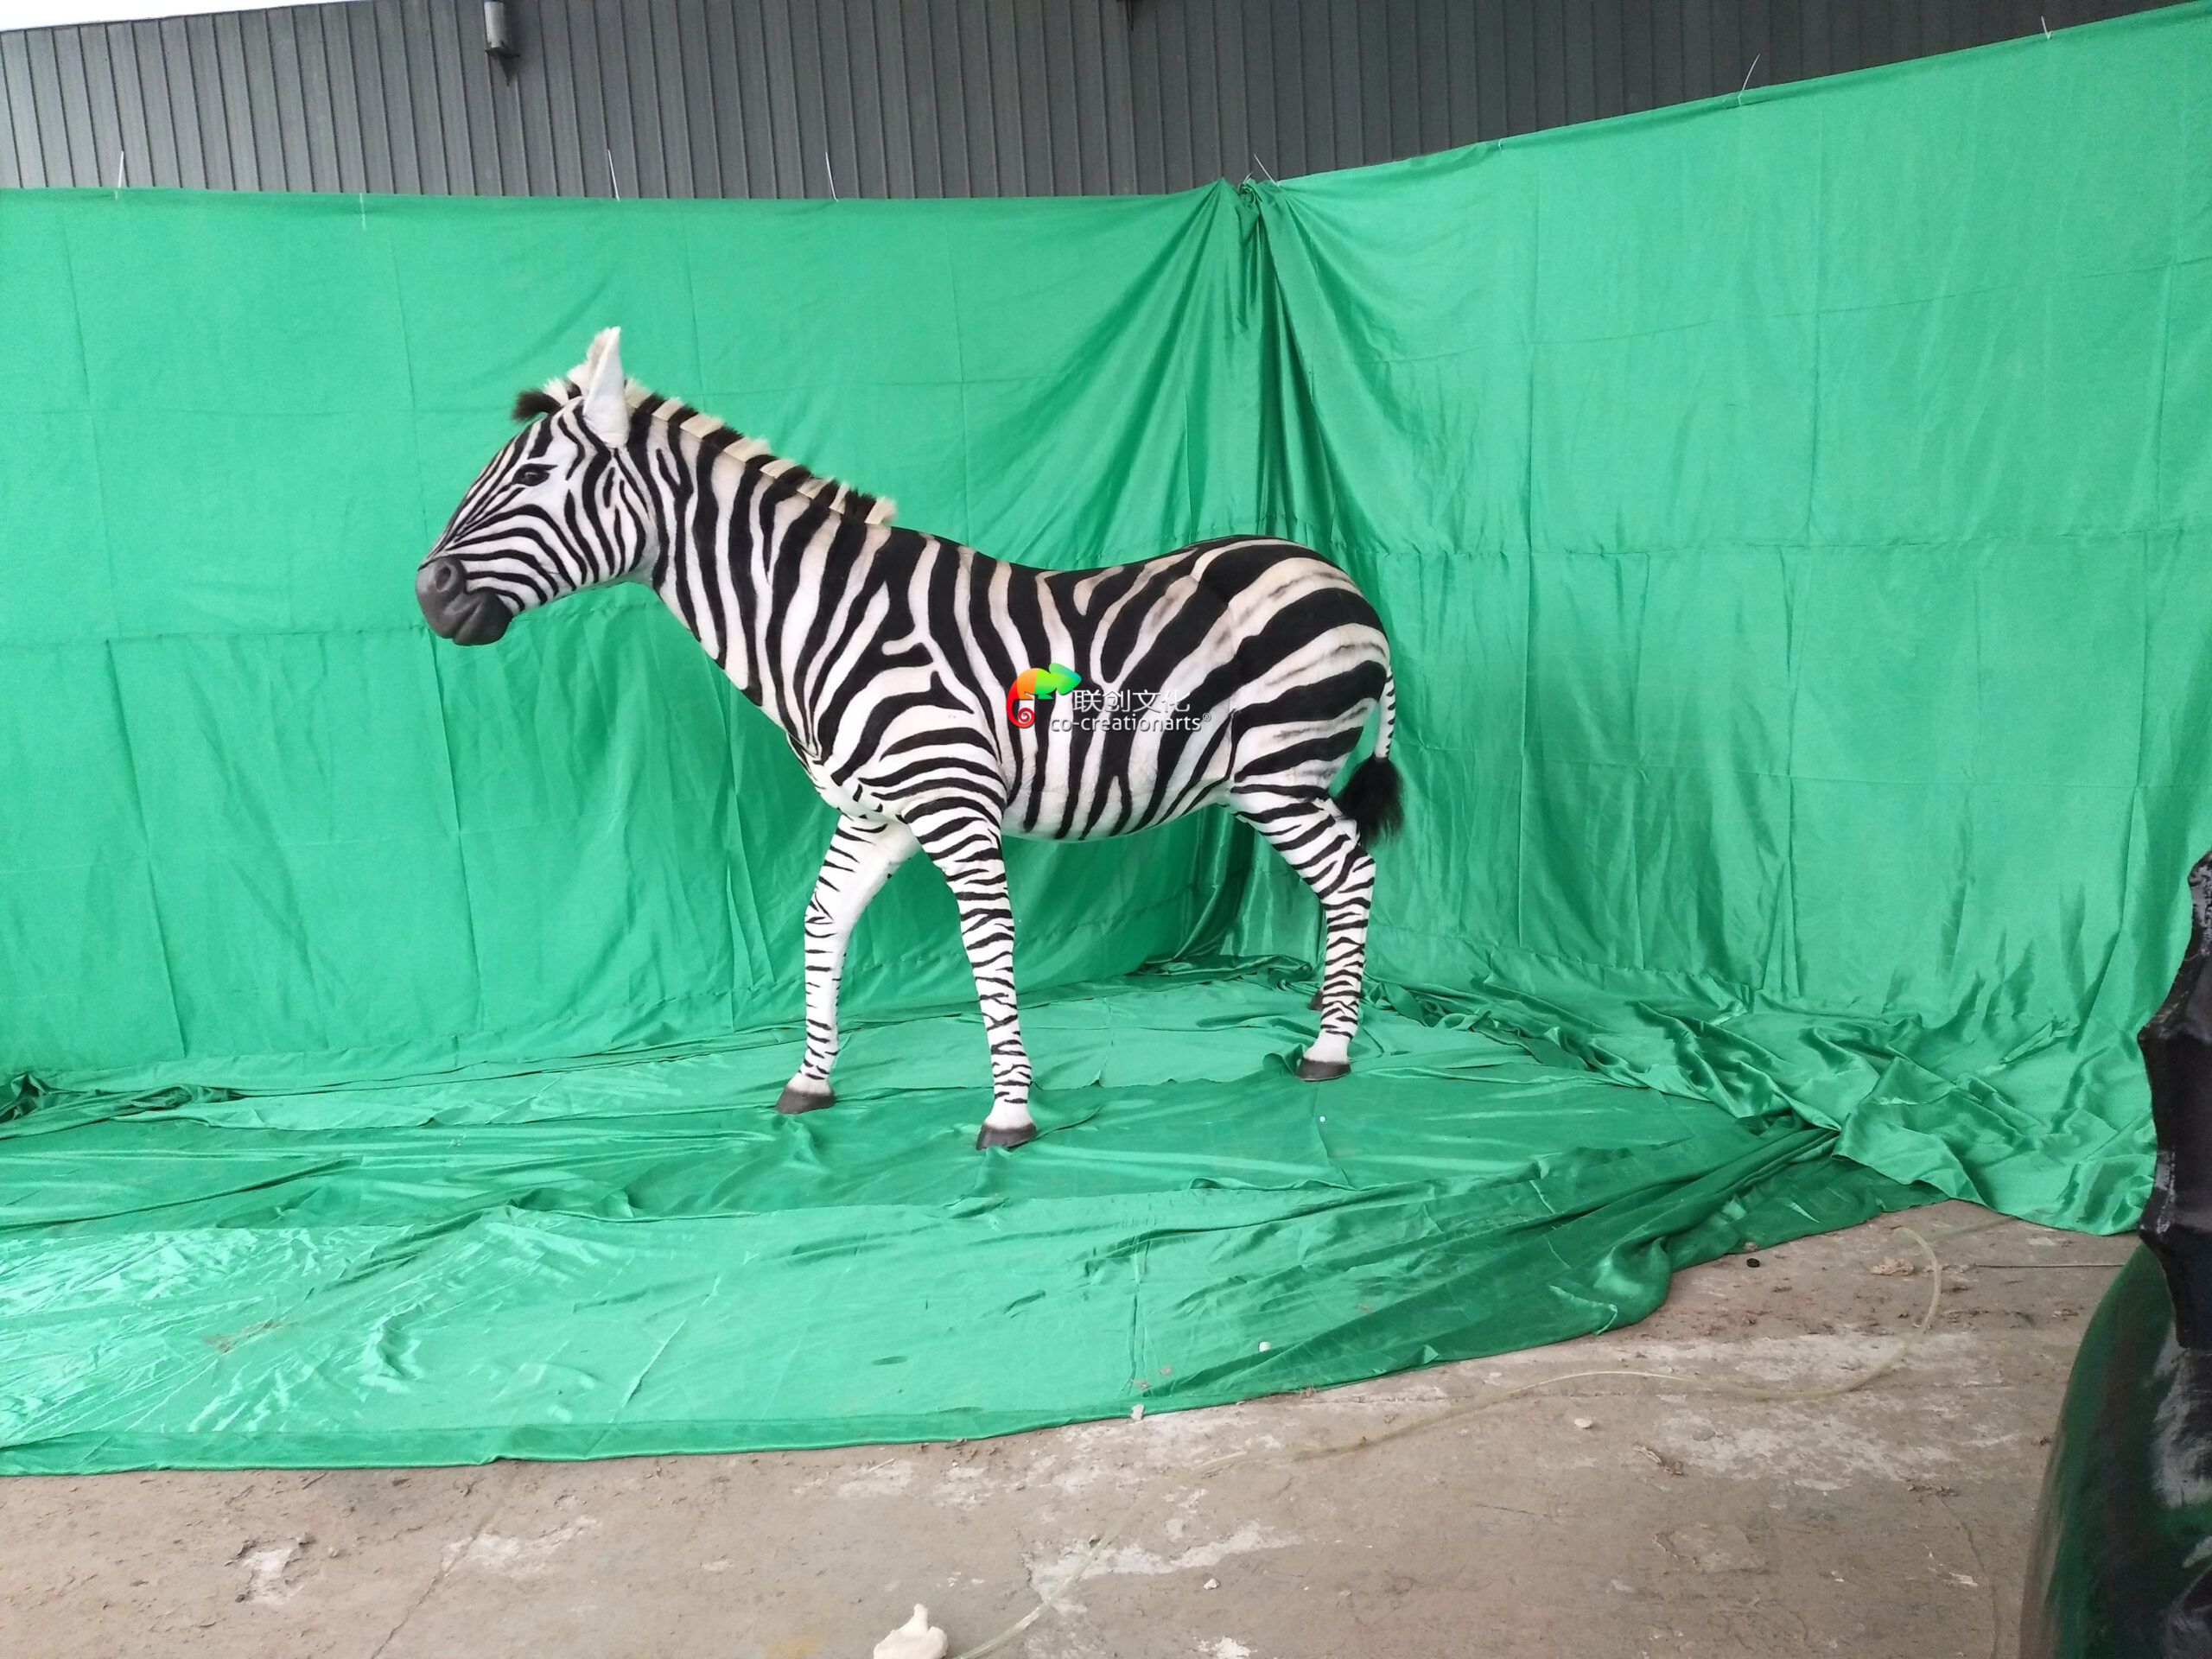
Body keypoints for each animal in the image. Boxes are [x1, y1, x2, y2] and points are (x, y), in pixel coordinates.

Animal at [416, 329, 1402, 1150]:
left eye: (533, 481)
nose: (426, 594)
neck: (821, 619)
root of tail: (1342, 582)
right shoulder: (875, 814)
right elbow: (821, 924)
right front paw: (810, 1081)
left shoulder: (952, 801)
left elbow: (987, 943)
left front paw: (1009, 1111)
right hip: (1274, 778)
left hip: (1278, 772)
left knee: (1352, 873)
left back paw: (1330, 1048)